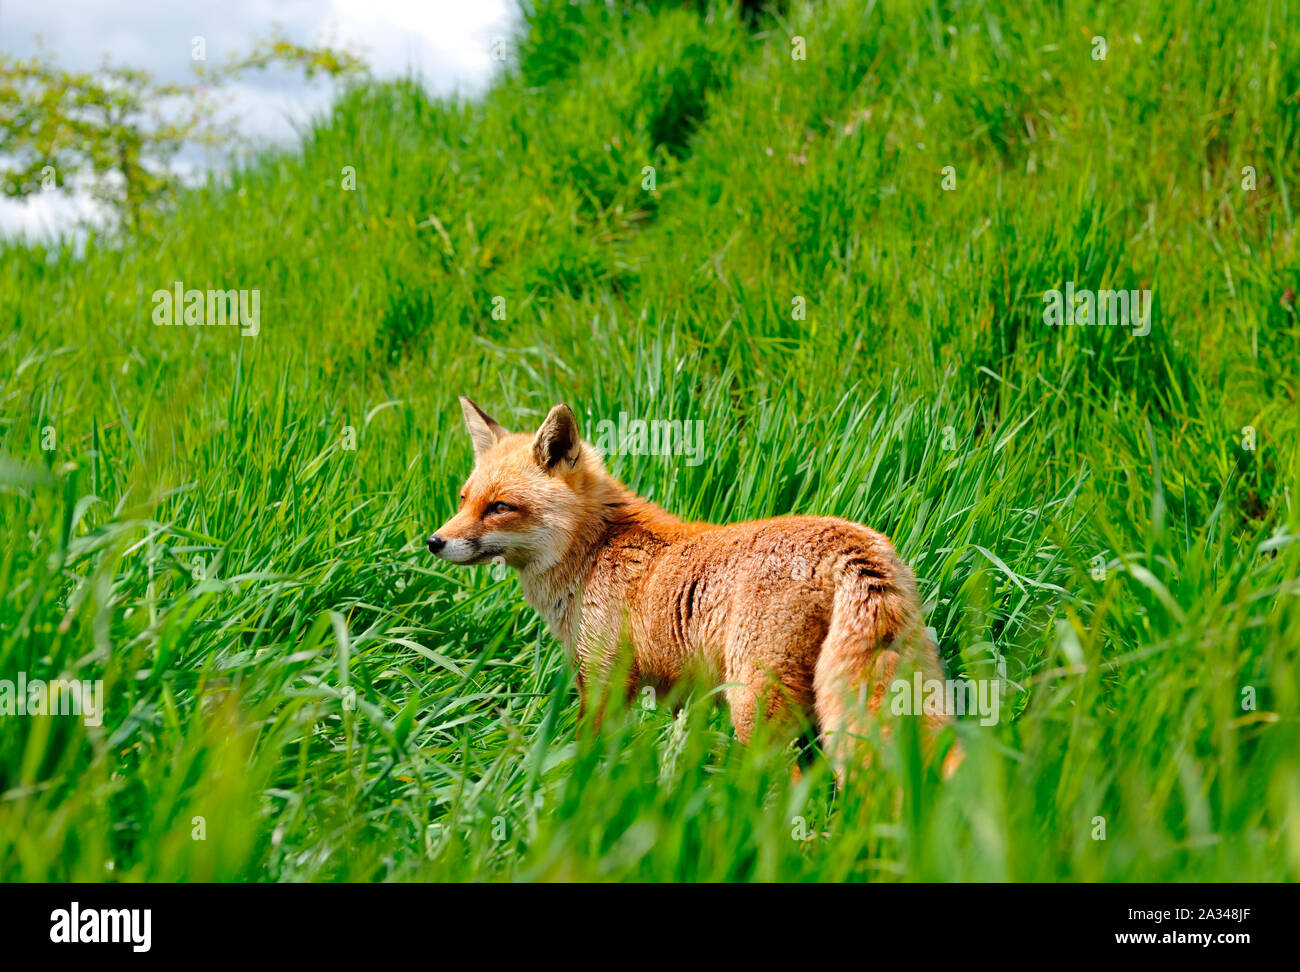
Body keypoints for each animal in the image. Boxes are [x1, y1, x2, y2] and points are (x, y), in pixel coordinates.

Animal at [429, 397, 959, 783]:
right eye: (464, 500)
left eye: (499, 507)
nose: (435, 542)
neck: (595, 549)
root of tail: (852, 543)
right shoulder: (683, 692)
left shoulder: (604, 677)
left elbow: (589, 754)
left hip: (755, 704)